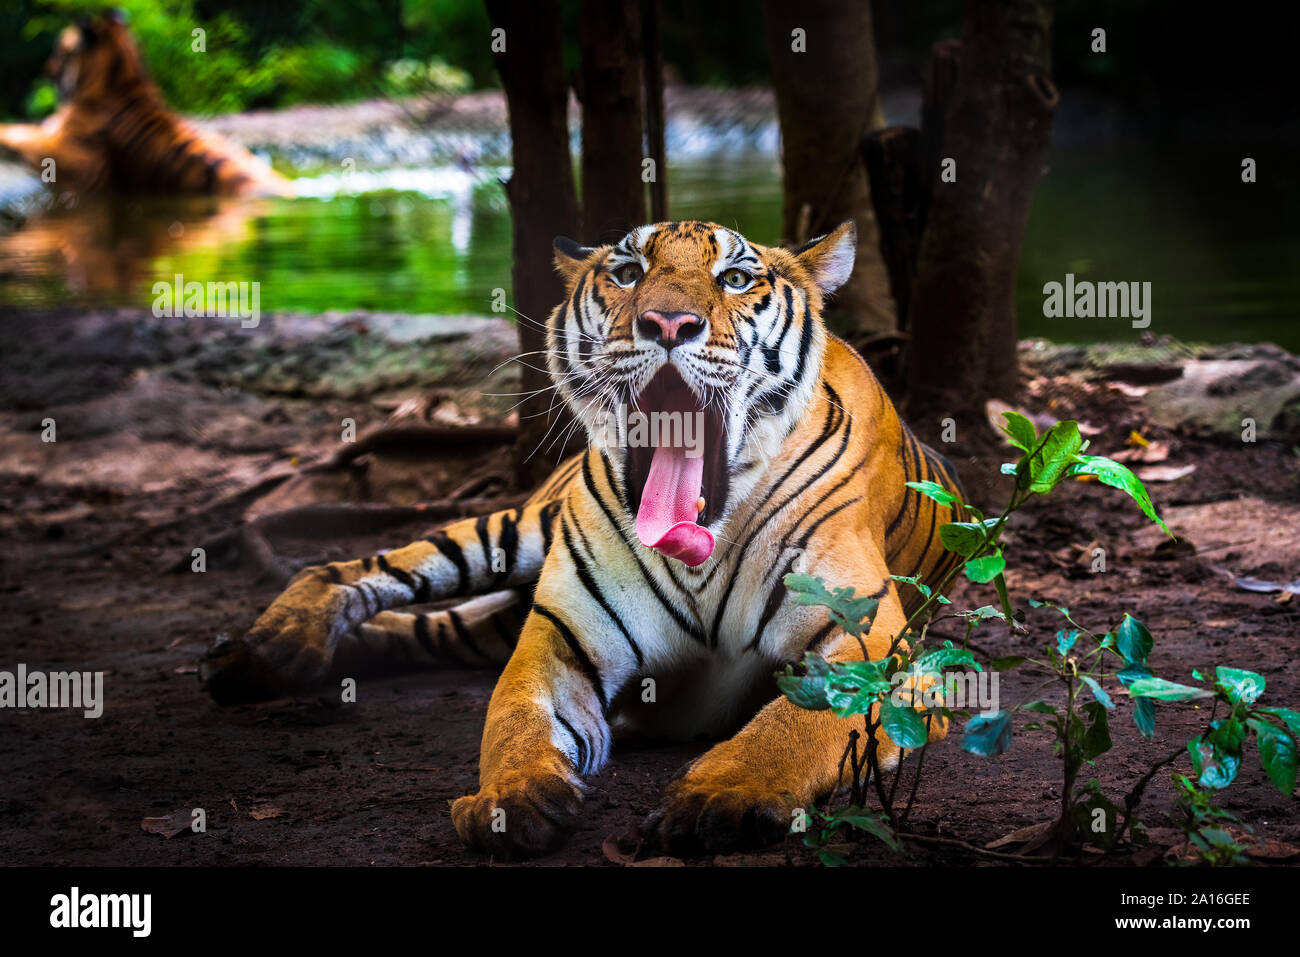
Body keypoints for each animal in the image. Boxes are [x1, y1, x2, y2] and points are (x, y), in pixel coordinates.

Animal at [200, 219, 967, 858]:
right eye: (627, 272)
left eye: (735, 278)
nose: (668, 322)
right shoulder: (560, 636)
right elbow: (514, 719)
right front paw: (511, 799)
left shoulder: (867, 639)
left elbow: (797, 723)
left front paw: (722, 796)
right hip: (519, 530)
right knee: (355, 568)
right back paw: (270, 647)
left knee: (435, 629)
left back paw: (256, 664)